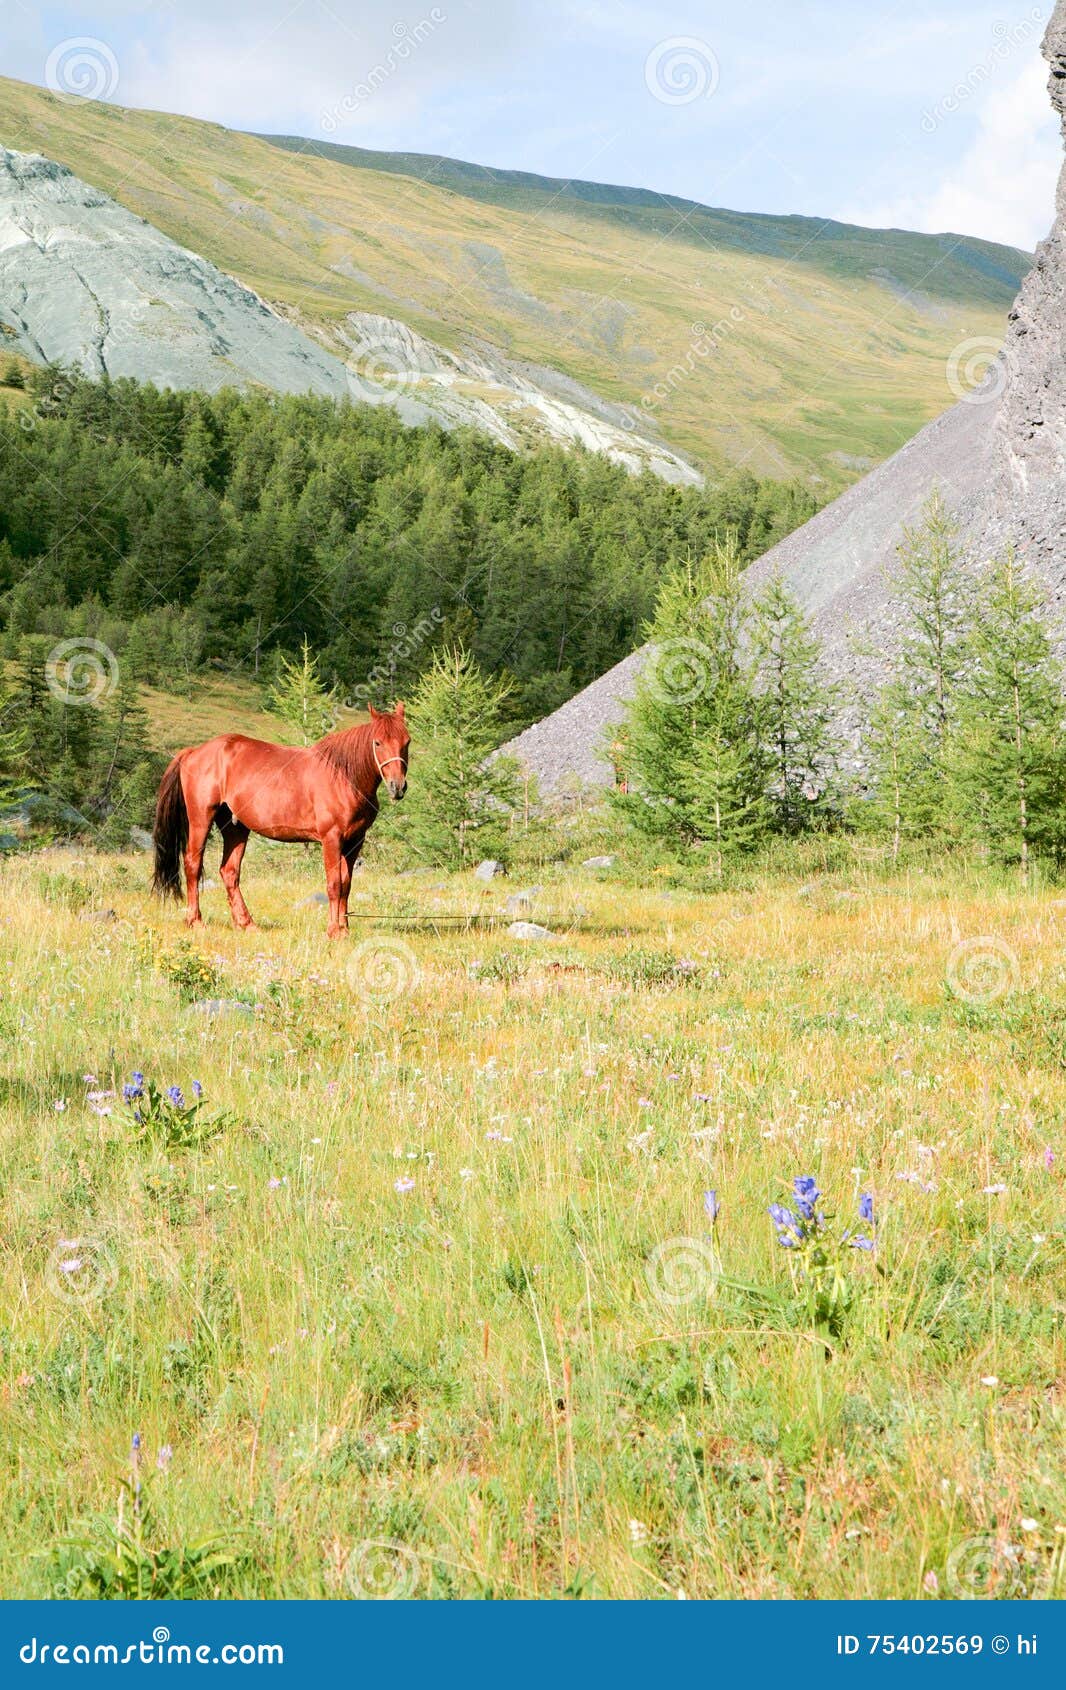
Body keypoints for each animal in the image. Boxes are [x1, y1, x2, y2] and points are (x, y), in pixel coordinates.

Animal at [151, 704, 410, 937]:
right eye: (377, 742)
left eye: (407, 741)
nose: (397, 787)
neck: (344, 777)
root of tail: (193, 752)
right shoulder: (331, 839)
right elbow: (334, 885)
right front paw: (334, 931)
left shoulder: (355, 841)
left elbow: (346, 884)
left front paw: (344, 929)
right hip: (201, 820)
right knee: (193, 865)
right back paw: (196, 921)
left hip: (235, 828)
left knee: (229, 872)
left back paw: (246, 924)